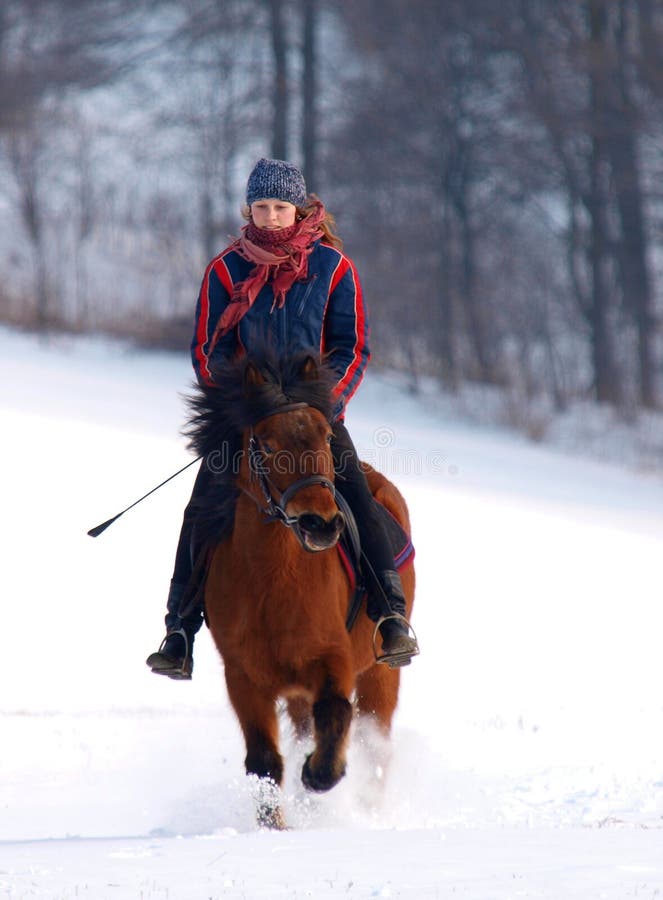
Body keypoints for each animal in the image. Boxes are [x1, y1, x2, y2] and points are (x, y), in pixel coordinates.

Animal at [186, 351, 415, 828]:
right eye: (266, 444)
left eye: (326, 436)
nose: (320, 523)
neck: (273, 580)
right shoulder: (244, 676)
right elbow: (264, 762)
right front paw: (277, 825)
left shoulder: (333, 658)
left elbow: (337, 712)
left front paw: (320, 774)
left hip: (381, 673)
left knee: (374, 744)